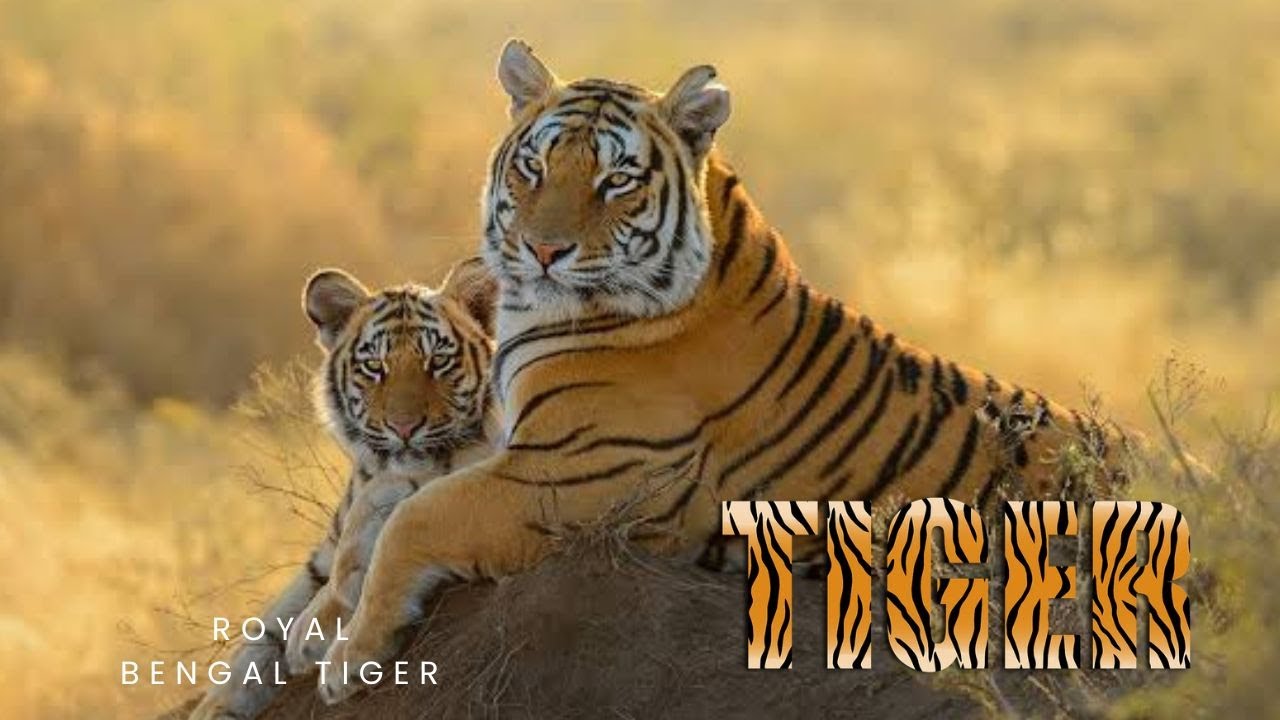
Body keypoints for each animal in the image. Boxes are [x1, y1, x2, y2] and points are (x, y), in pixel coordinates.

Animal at [189, 259, 497, 720]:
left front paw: (313, 633)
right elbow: (259, 636)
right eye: (374, 367)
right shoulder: (319, 559)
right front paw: (216, 705)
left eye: (438, 361)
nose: (404, 427)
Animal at [313, 40, 1173, 702]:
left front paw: (351, 657)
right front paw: (325, 613)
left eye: (615, 180)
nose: (543, 249)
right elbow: (392, 501)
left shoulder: (576, 475)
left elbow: (420, 516)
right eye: (534, 167)